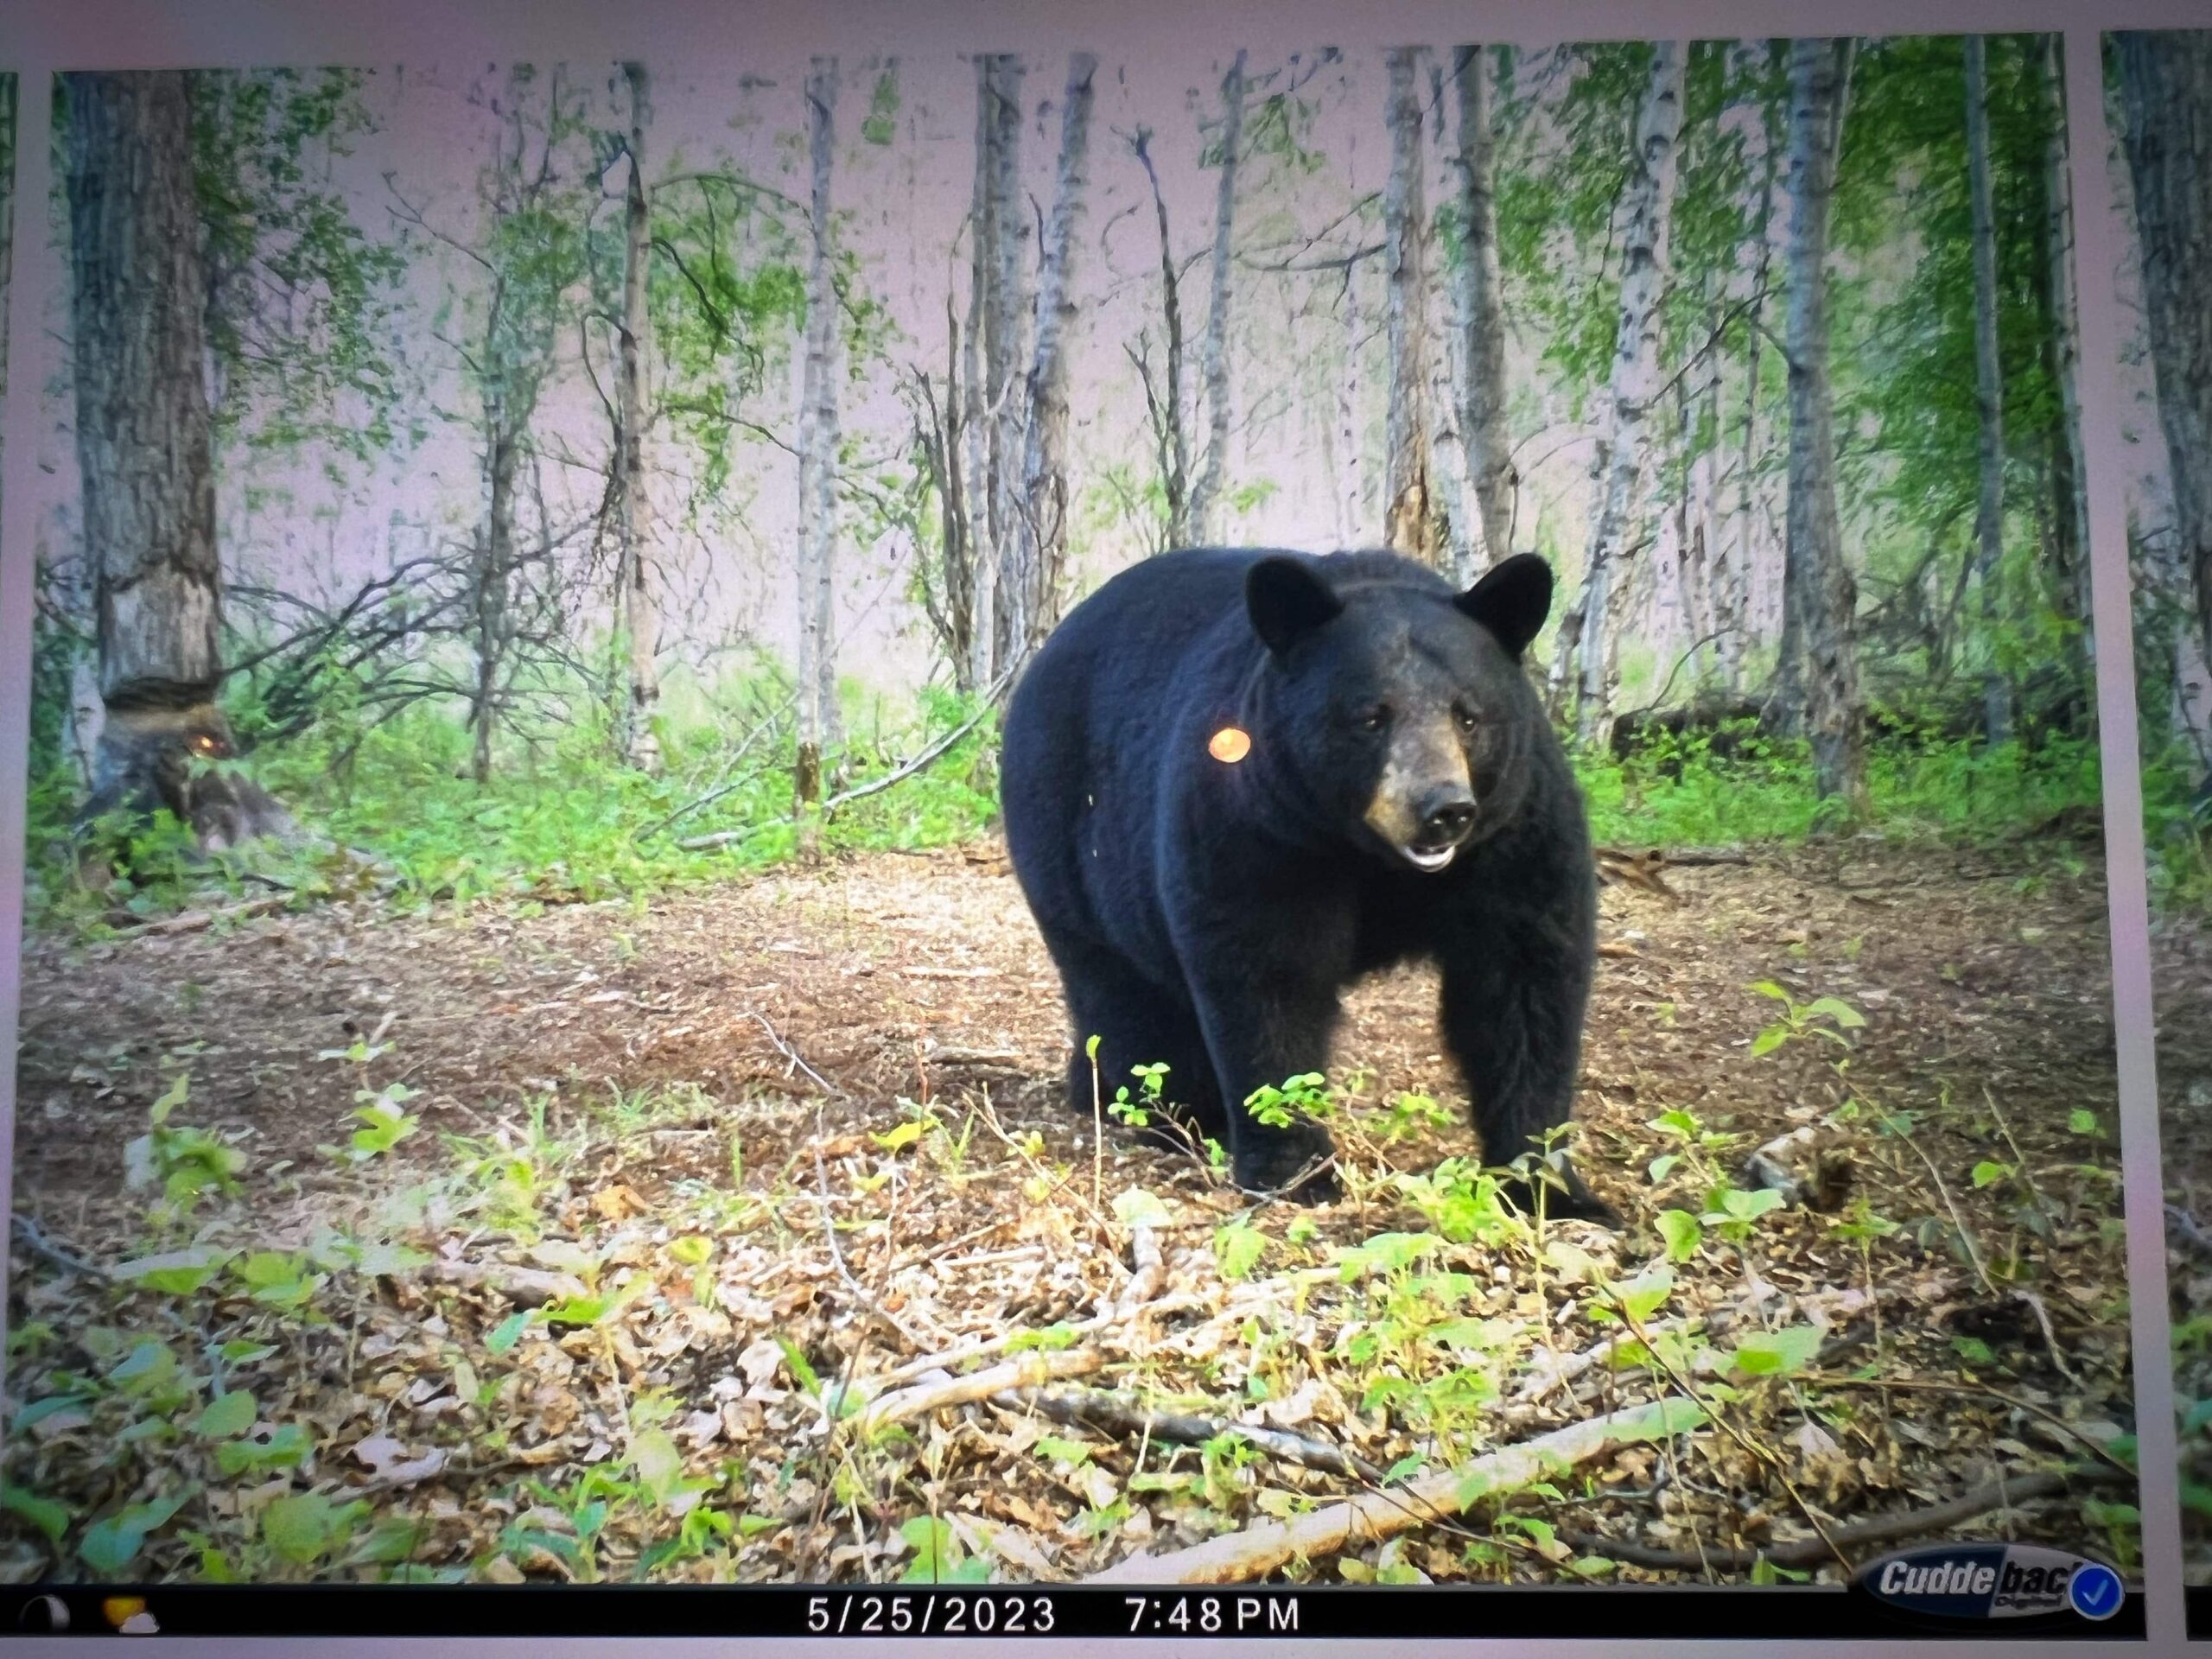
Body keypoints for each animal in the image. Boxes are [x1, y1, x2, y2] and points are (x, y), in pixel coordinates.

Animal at [999, 546, 1615, 1225]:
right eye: (1370, 717)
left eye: (1469, 716)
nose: (1443, 809)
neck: (1369, 855)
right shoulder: (1262, 830)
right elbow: (1270, 979)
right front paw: (1296, 1171)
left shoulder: (1514, 834)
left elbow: (1524, 985)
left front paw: (1552, 1188)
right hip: (1068, 842)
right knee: (1123, 990)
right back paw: (1168, 1113)